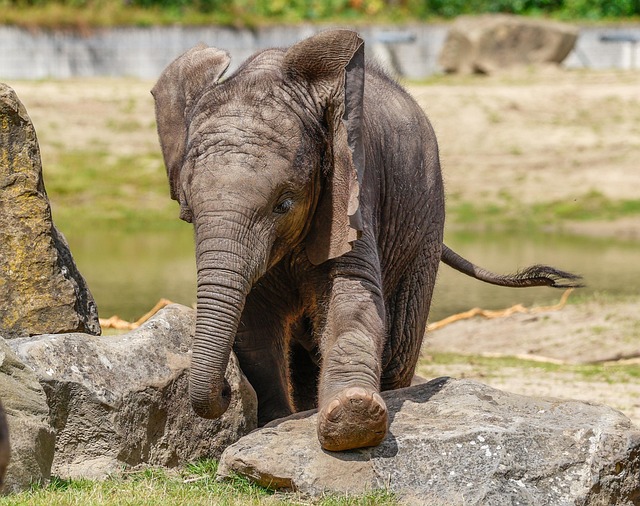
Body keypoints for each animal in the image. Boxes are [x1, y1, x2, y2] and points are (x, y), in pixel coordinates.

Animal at [152, 29, 581, 452]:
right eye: (189, 207)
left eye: (283, 204)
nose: (226, 390)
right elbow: (254, 322)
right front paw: (276, 422)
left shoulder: (354, 191)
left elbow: (352, 296)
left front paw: (352, 420)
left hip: (425, 223)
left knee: (398, 343)